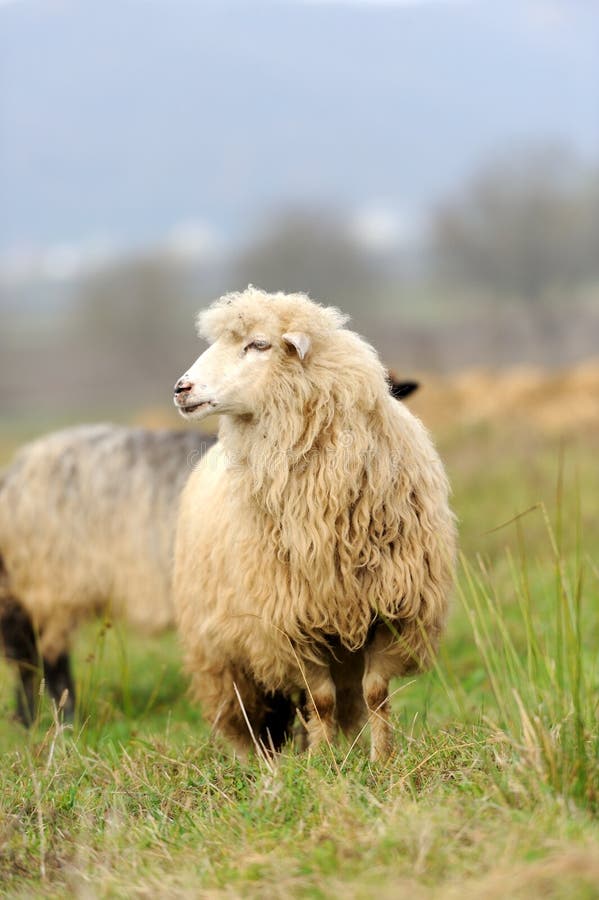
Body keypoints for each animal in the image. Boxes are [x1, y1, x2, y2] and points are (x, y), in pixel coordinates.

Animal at [0, 424, 215, 724]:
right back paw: (67, 718)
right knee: (47, 656)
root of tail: (13, 474)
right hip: (54, 583)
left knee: (25, 657)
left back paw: (28, 720)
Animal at [172, 288, 455, 761]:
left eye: (259, 344)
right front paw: (322, 765)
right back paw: (261, 760)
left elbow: (375, 693)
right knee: (248, 714)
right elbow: (319, 700)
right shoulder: (289, 621)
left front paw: (382, 760)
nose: (181, 389)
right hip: (223, 649)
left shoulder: (390, 608)